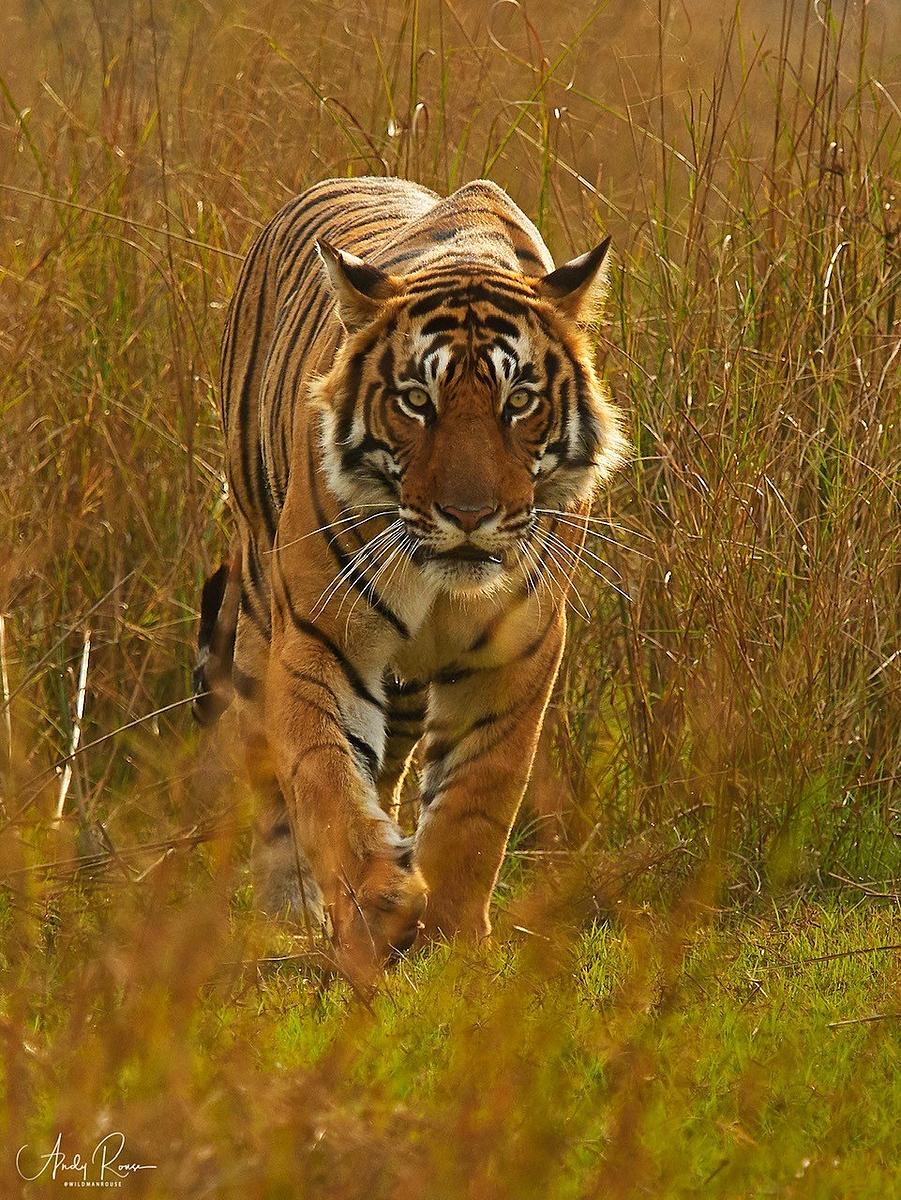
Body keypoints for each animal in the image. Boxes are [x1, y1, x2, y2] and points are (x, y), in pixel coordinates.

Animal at [195, 177, 626, 985]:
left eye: (518, 402)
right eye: (416, 402)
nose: (470, 514)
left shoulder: (519, 649)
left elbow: (475, 805)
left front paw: (452, 943)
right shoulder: (321, 637)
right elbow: (326, 775)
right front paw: (377, 899)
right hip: (260, 609)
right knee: (271, 776)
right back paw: (291, 910)